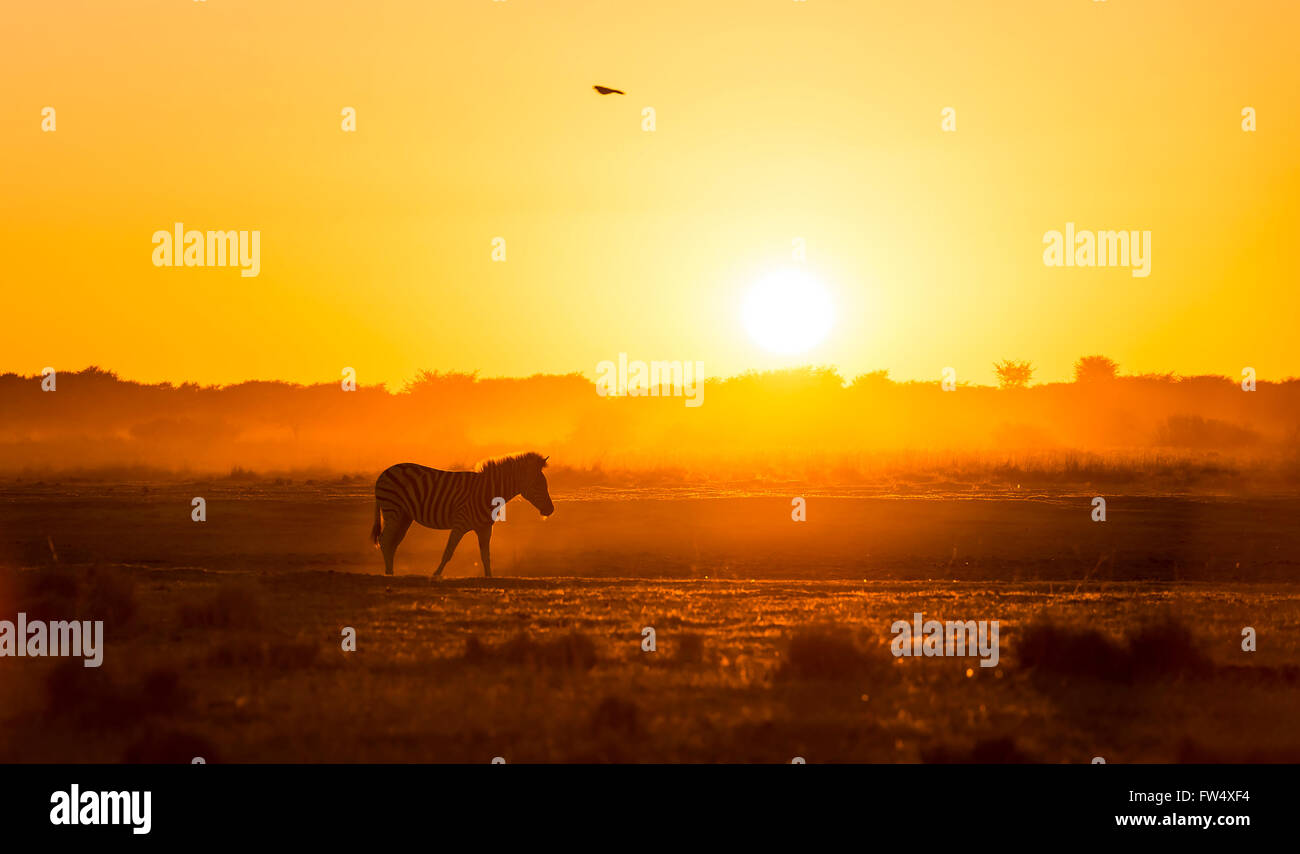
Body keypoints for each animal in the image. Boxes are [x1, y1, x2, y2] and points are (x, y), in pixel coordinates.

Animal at [370, 452, 554, 578]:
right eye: (538, 484)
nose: (551, 510)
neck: (488, 492)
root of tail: (384, 473)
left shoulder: (485, 528)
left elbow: (486, 555)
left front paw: (489, 577)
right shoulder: (460, 523)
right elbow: (449, 551)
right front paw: (436, 574)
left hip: (404, 517)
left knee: (392, 543)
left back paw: (390, 572)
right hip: (393, 511)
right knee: (385, 540)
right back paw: (389, 574)